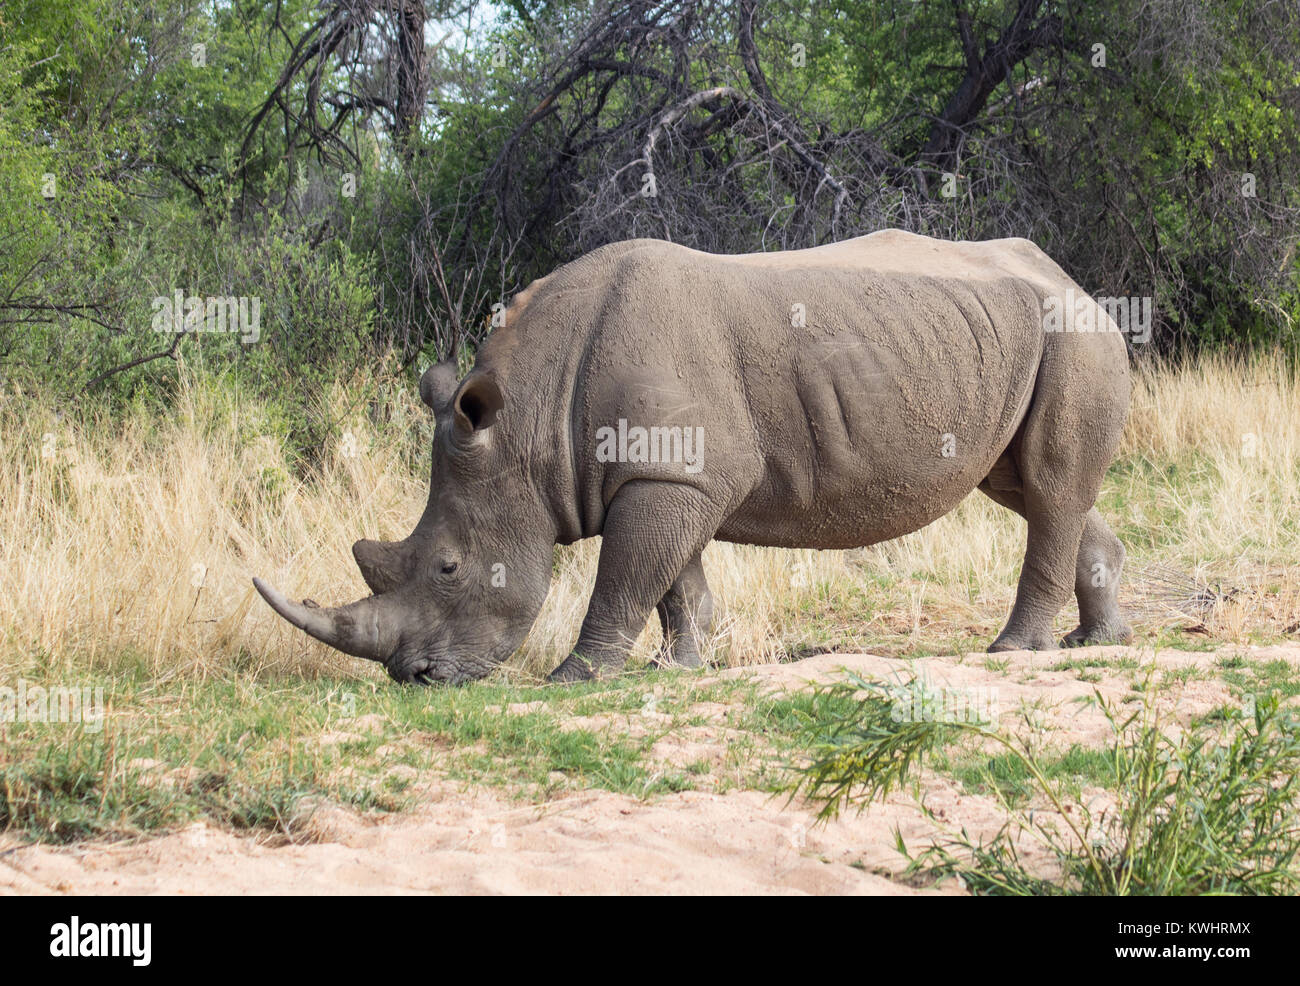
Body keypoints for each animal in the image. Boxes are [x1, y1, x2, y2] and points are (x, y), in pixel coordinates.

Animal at [254, 230, 1132, 684]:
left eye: (448, 568)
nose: (415, 678)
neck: (530, 419)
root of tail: (1077, 282)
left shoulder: (664, 474)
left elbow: (627, 574)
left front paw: (578, 677)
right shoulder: (672, 472)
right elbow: (673, 577)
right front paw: (679, 665)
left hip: (1072, 334)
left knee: (1047, 489)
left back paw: (1013, 653)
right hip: (1015, 341)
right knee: (1031, 487)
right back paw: (1099, 644)